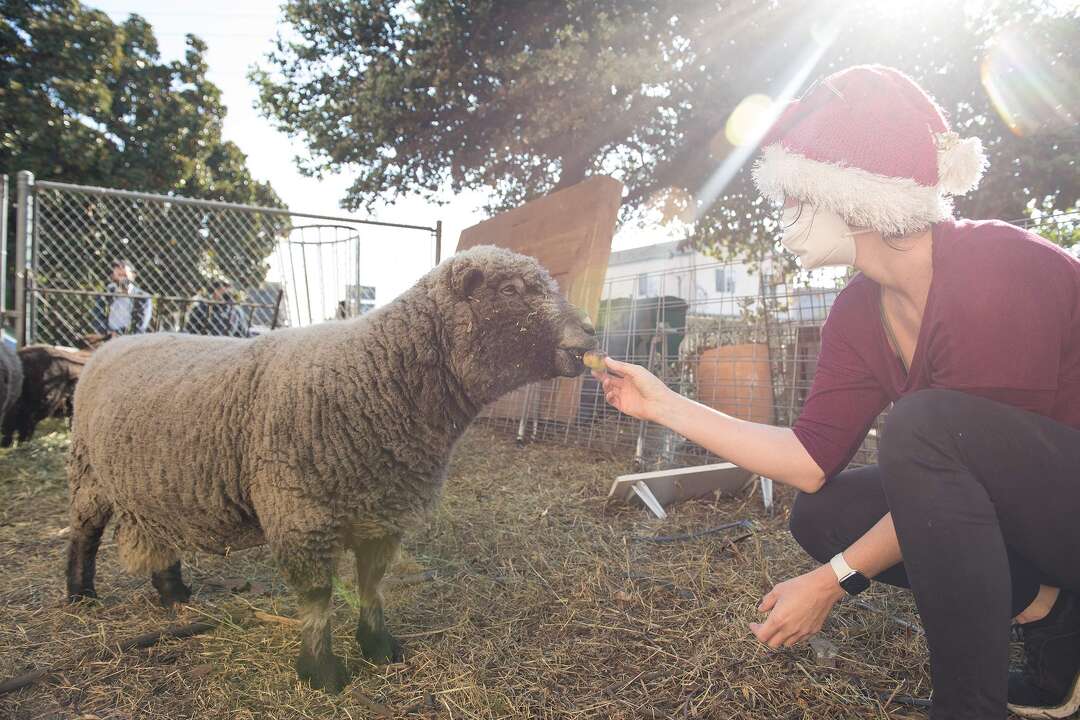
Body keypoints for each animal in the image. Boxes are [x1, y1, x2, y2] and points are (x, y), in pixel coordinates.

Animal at [66, 245, 597, 692]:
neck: (378, 375)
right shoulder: (301, 512)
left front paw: (379, 647)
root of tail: (108, 347)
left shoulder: (383, 511)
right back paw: (80, 595)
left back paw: (174, 593)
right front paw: (321, 672)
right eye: (509, 291)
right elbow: (318, 598)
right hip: (87, 473)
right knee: (84, 535)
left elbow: (371, 584)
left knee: (161, 534)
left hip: (154, 483)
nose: (591, 332)